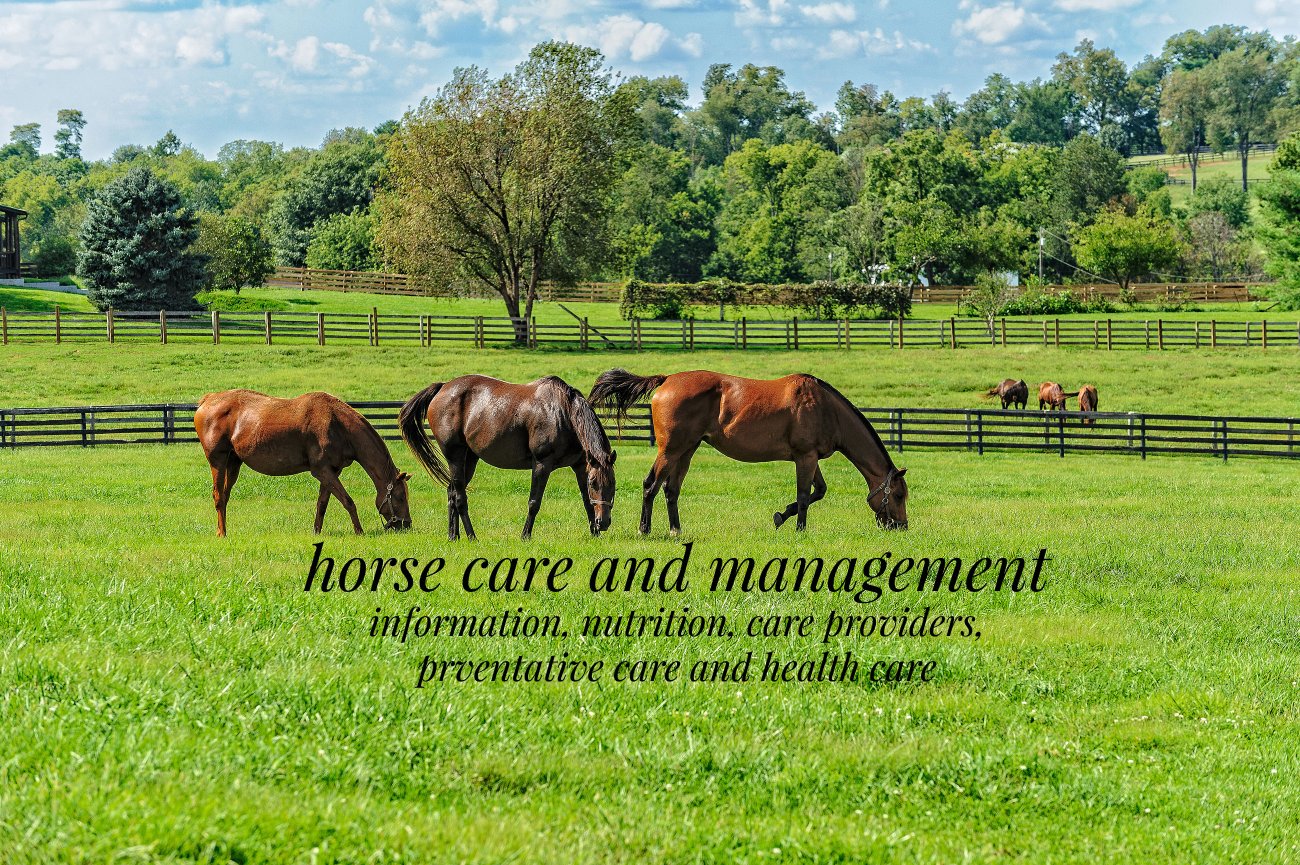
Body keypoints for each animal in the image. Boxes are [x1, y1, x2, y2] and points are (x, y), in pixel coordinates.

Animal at [194, 389, 412, 537]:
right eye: (400, 497)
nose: (406, 525)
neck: (338, 424)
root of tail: (208, 399)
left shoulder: (331, 472)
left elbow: (322, 504)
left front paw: (316, 531)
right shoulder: (322, 471)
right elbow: (348, 501)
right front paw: (359, 531)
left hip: (233, 463)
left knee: (225, 497)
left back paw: (222, 530)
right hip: (218, 461)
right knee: (218, 496)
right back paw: (222, 533)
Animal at [398, 375, 616, 540]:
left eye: (612, 483)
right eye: (594, 483)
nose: (604, 522)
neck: (564, 413)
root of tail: (443, 388)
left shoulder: (580, 466)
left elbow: (586, 501)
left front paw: (594, 534)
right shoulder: (542, 465)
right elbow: (534, 502)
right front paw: (525, 536)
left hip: (470, 459)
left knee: (452, 492)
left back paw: (453, 536)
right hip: (455, 457)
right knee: (459, 497)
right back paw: (471, 536)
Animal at [588, 369, 907, 535]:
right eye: (899, 496)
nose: (901, 526)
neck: (826, 408)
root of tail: (666, 379)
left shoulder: (810, 457)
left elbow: (818, 491)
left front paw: (781, 516)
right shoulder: (805, 457)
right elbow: (805, 496)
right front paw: (799, 528)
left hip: (687, 451)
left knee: (671, 489)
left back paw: (676, 530)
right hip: (671, 450)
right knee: (650, 485)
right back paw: (644, 529)